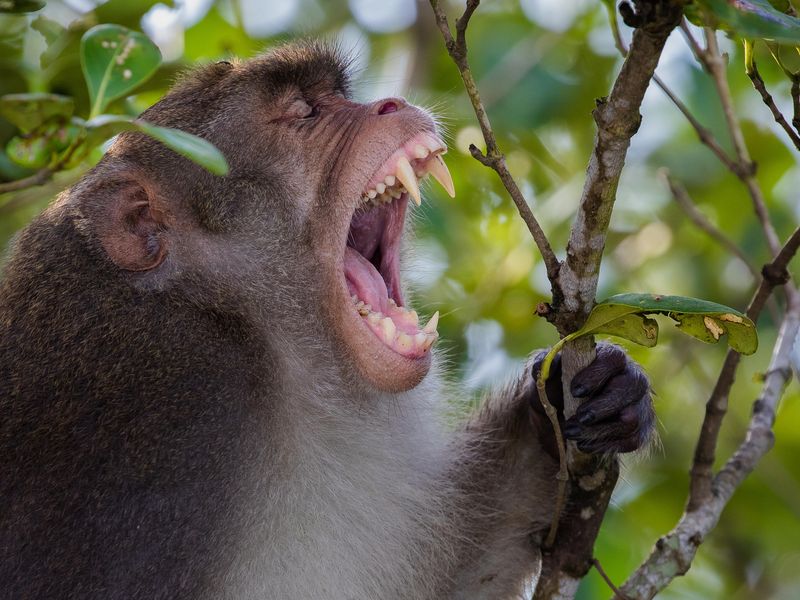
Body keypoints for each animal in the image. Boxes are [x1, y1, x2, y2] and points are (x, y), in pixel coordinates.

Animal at [0, 42, 654, 599]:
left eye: (337, 95)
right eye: (303, 113)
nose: (390, 104)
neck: (245, 323)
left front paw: (576, 400)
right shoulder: (171, 414)